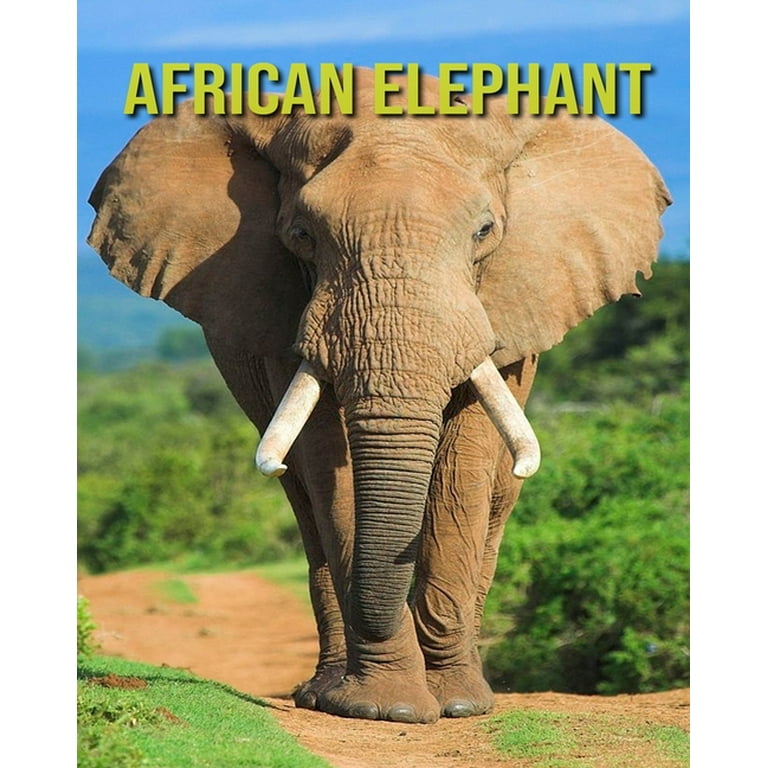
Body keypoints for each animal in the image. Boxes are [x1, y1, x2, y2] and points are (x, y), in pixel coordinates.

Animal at [87, 67, 670, 724]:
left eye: (485, 232)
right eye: (301, 235)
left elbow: (465, 461)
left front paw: (457, 704)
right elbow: (326, 462)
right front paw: (385, 708)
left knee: (497, 496)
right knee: (303, 500)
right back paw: (324, 694)